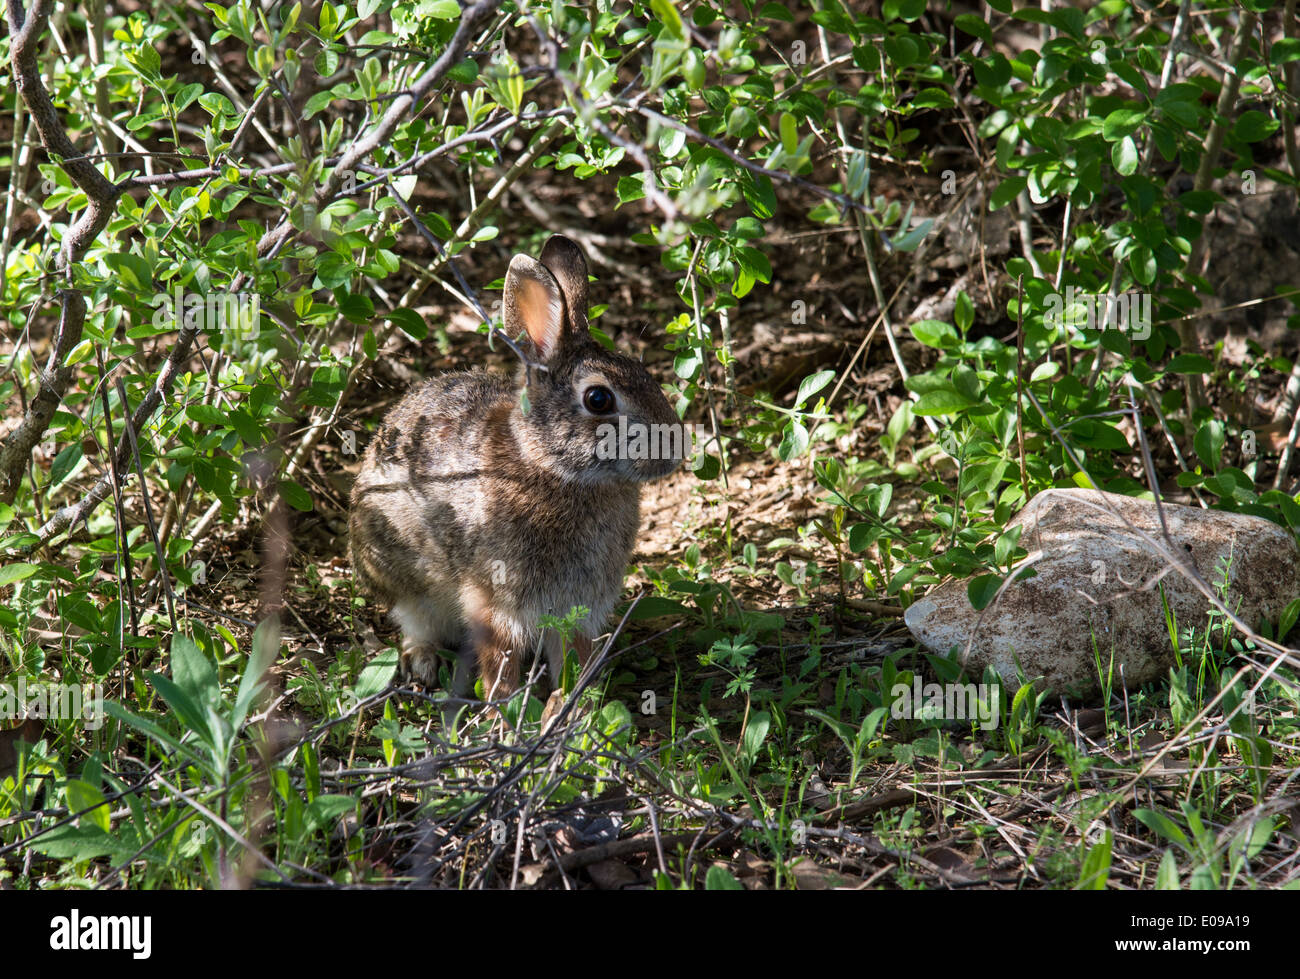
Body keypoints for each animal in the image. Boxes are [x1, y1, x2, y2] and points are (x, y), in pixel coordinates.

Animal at [349, 235, 686, 714]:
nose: (675, 451)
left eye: (645, 374)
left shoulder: (578, 607)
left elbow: (575, 657)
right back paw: (425, 662)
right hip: (398, 576)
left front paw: (575, 706)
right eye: (599, 399)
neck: (552, 469)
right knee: (414, 623)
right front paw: (504, 709)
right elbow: (500, 659)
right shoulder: (495, 601)